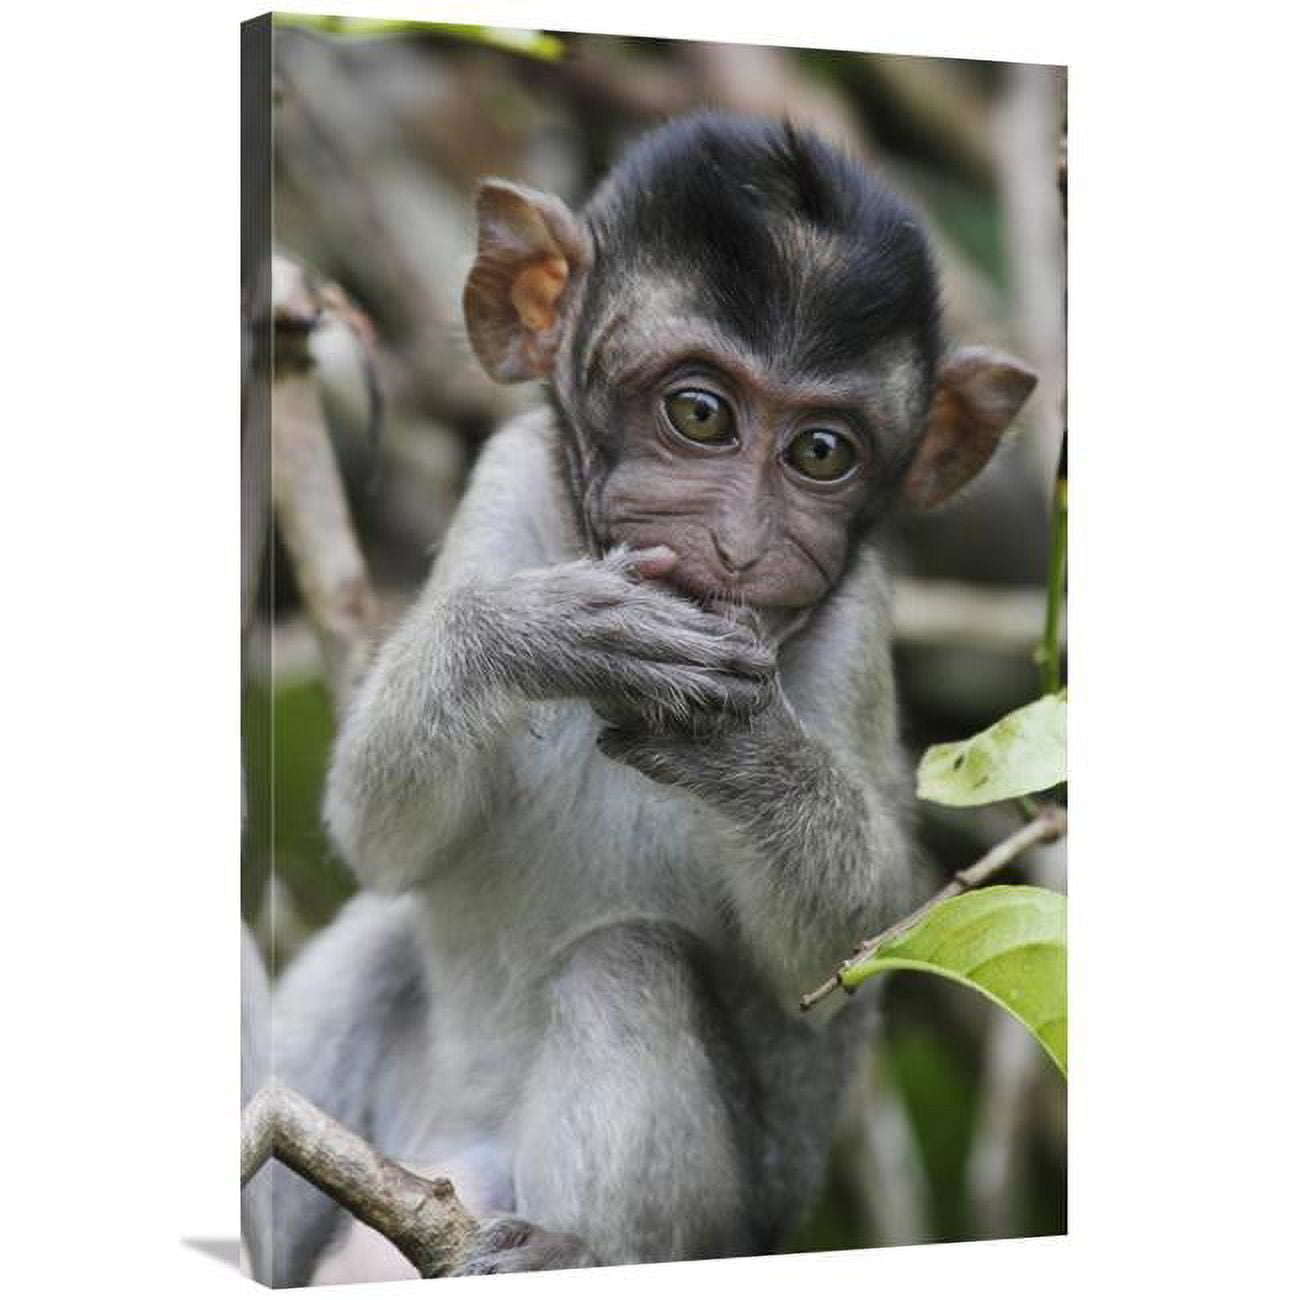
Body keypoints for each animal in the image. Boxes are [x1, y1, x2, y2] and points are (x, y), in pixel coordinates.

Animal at [254, 112, 1036, 1285]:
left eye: (821, 452)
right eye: (700, 414)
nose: (741, 546)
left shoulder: (857, 619)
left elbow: (848, 949)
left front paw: (743, 752)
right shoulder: (506, 481)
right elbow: (379, 837)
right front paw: (540, 634)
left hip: (712, 1228)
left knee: (626, 960)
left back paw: (573, 1254)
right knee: (376, 937)